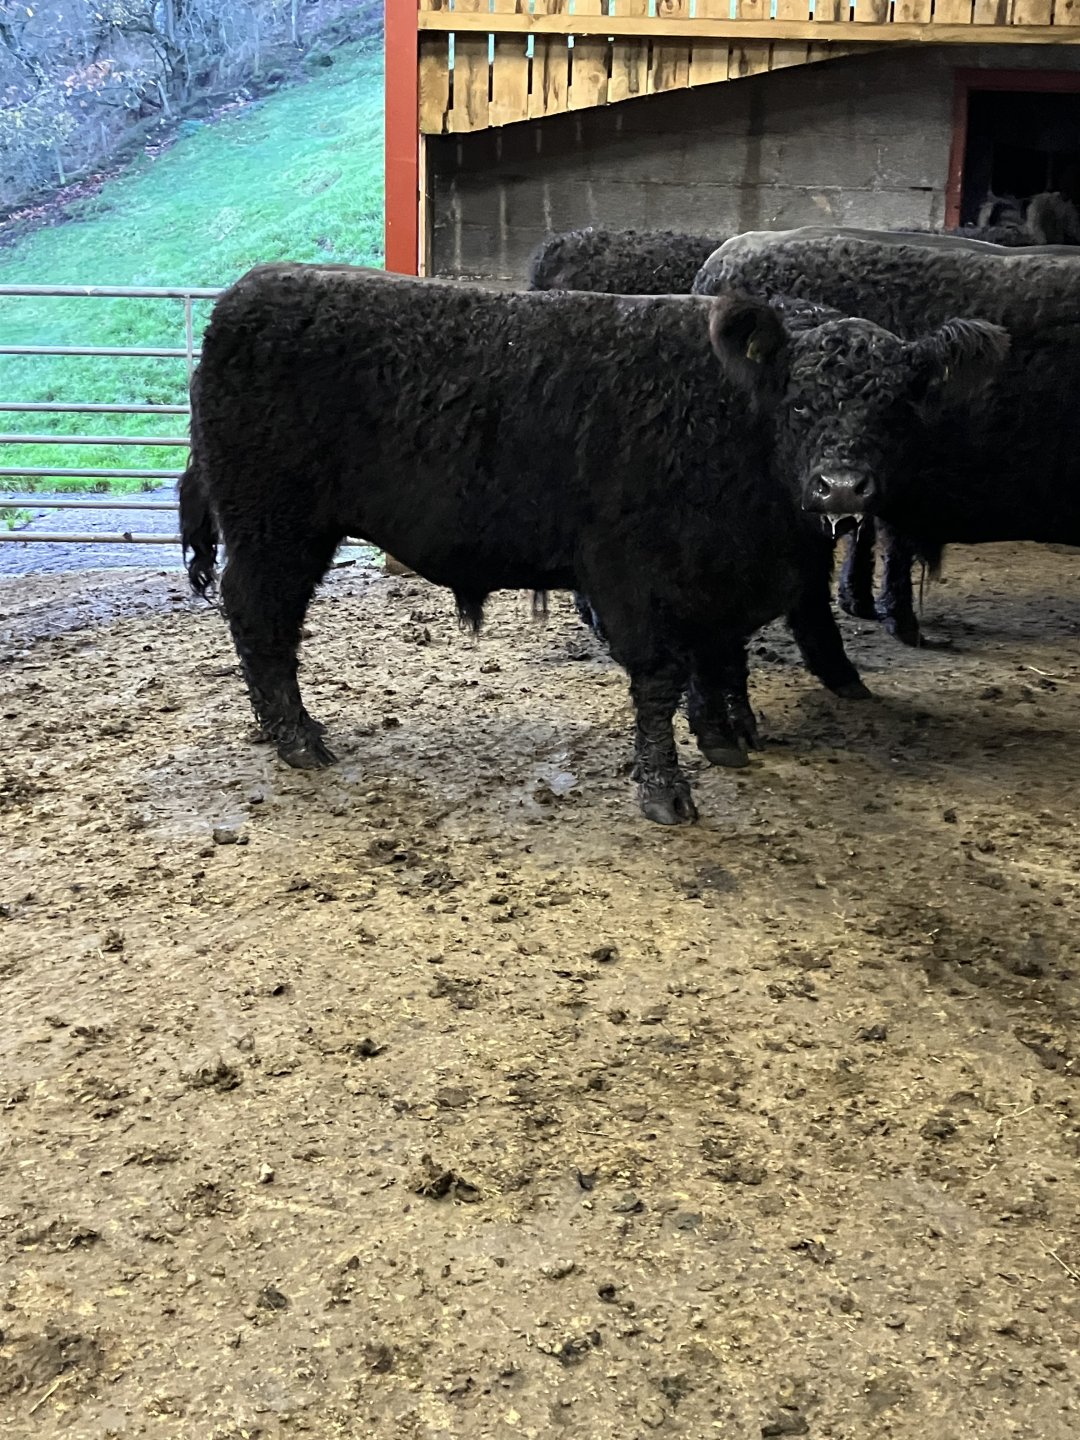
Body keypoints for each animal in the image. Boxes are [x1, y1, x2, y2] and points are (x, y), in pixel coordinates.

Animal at [178, 263, 1003, 825]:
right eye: (798, 402)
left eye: (895, 407)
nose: (841, 488)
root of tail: (250, 291)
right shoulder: (630, 573)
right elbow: (661, 678)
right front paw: (667, 791)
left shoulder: (719, 582)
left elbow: (718, 660)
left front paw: (723, 740)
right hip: (273, 525)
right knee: (261, 619)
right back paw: (298, 739)